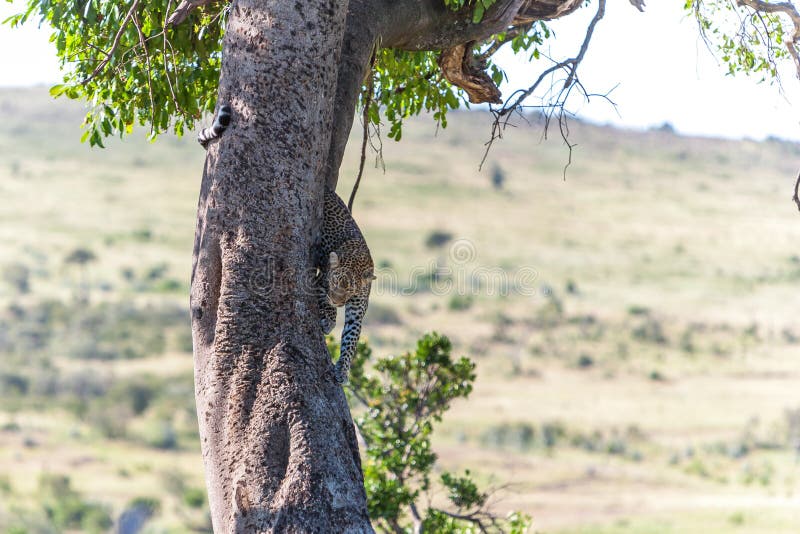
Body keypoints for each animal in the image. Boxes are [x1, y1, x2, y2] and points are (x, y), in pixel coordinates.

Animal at [198, 104, 374, 384]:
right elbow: (322, 297)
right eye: (335, 283)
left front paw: (343, 370)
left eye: (349, 288)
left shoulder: (358, 305)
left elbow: (352, 338)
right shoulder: (322, 277)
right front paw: (328, 319)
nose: (337, 300)